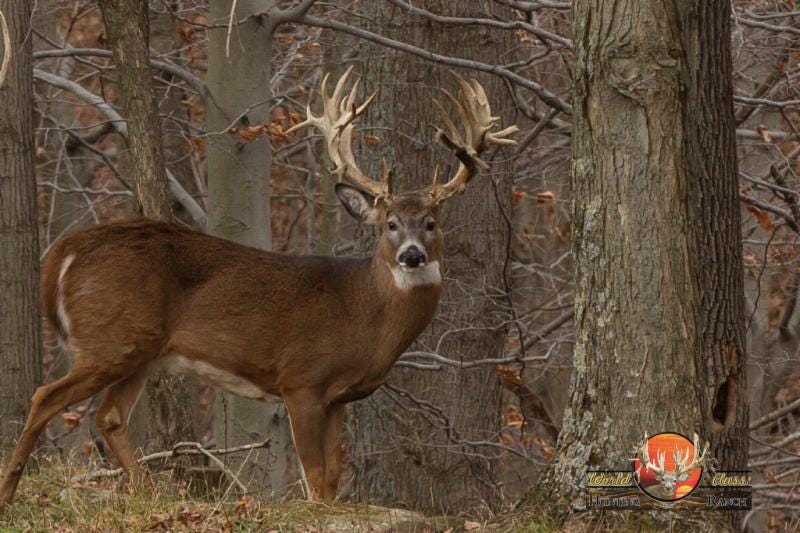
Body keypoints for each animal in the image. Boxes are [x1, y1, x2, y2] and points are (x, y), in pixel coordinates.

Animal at [0, 67, 517, 509]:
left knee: (108, 416)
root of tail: (64, 252)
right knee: (46, 397)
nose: (412, 255)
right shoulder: (301, 378)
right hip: (109, 338)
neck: (363, 314)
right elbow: (315, 478)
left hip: (139, 351)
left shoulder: (338, 397)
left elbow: (332, 479)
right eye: (390, 224)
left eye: (431, 223)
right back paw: (10, 491)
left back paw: (152, 493)